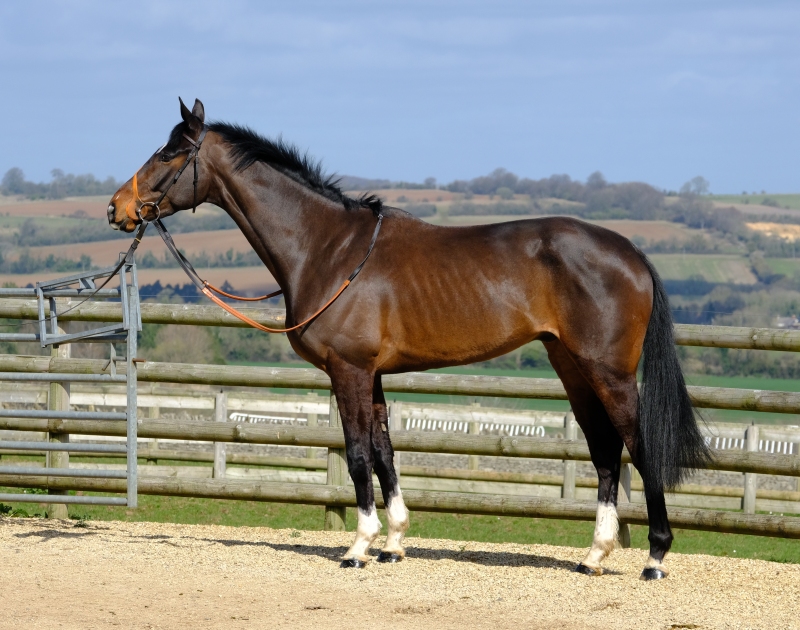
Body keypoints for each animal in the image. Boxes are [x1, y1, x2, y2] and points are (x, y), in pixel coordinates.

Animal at [107, 98, 710, 580]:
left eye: (169, 154)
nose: (117, 208)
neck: (328, 249)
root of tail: (630, 252)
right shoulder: (372, 375)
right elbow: (384, 454)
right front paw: (394, 543)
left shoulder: (349, 371)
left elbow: (357, 455)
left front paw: (358, 548)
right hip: (571, 365)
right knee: (605, 450)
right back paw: (594, 555)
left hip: (609, 371)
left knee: (639, 446)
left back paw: (655, 558)